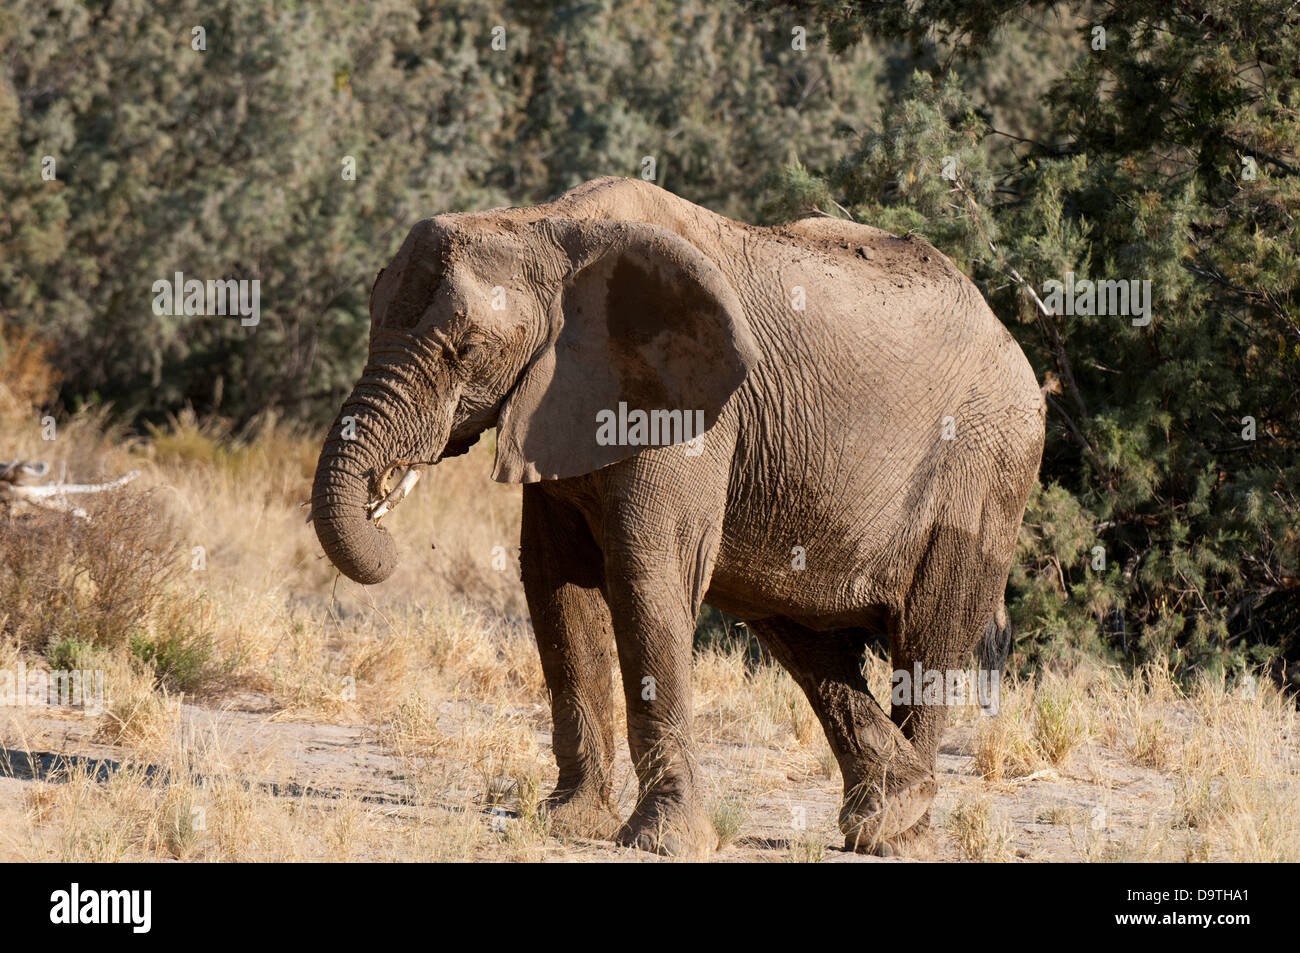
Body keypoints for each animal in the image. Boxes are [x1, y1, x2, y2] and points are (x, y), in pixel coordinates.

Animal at [310, 176, 1045, 857]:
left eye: (464, 349)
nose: (384, 521)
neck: (539, 227)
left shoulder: (684, 408)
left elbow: (646, 574)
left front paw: (659, 841)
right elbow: (554, 586)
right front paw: (568, 823)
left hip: (985, 464)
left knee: (928, 638)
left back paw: (898, 835)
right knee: (800, 634)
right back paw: (892, 805)